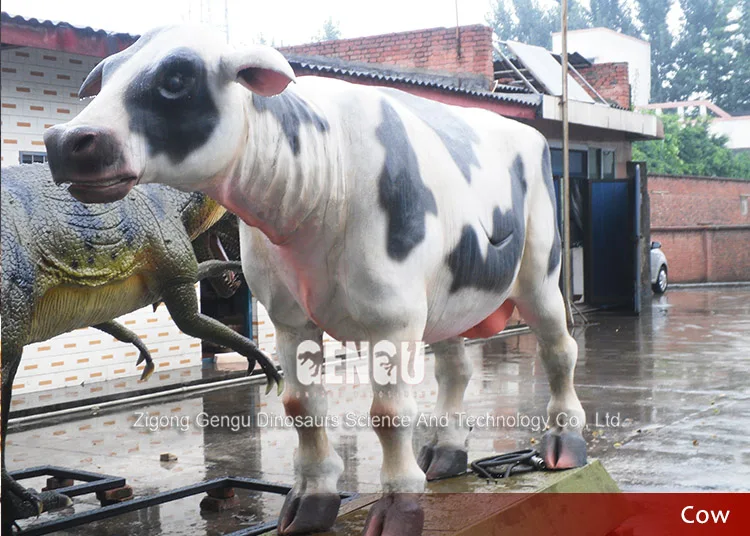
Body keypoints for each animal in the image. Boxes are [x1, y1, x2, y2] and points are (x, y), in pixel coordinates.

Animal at [43, 25, 587, 536]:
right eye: (105, 75)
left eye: (177, 79)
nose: (66, 140)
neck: (320, 187)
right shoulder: (289, 317)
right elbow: (300, 403)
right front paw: (311, 501)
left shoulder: (393, 318)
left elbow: (389, 414)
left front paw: (399, 509)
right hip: (445, 298)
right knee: (456, 369)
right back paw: (445, 455)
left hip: (539, 275)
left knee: (558, 350)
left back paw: (563, 443)